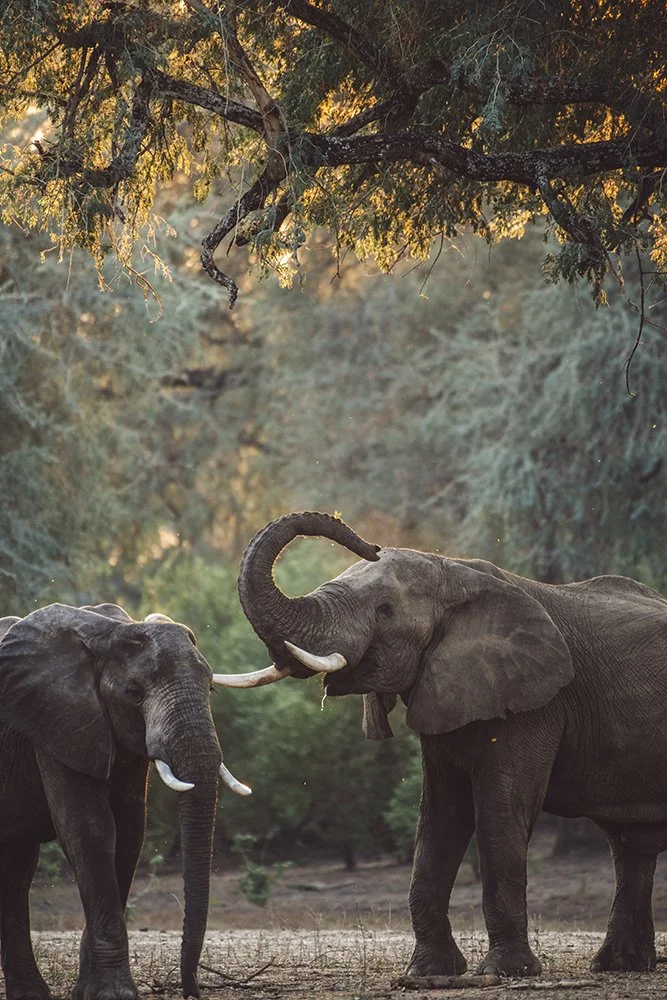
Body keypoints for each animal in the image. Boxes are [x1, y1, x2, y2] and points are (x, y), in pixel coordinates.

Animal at [0, 602, 250, 1000]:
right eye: (134, 693)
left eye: (210, 686)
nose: (191, 990)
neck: (109, 632)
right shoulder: (56, 719)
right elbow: (90, 831)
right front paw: (113, 994)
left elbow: (130, 832)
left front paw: (89, 991)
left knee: (16, 872)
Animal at [215, 510, 667, 979]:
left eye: (384, 610)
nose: (369, 545)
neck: (455, 573)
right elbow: (440, 817)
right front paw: (429, 973)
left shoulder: (536, 701)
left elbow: (498, 811)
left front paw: (507, 972)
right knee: (628, 846)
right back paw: (621, 966)